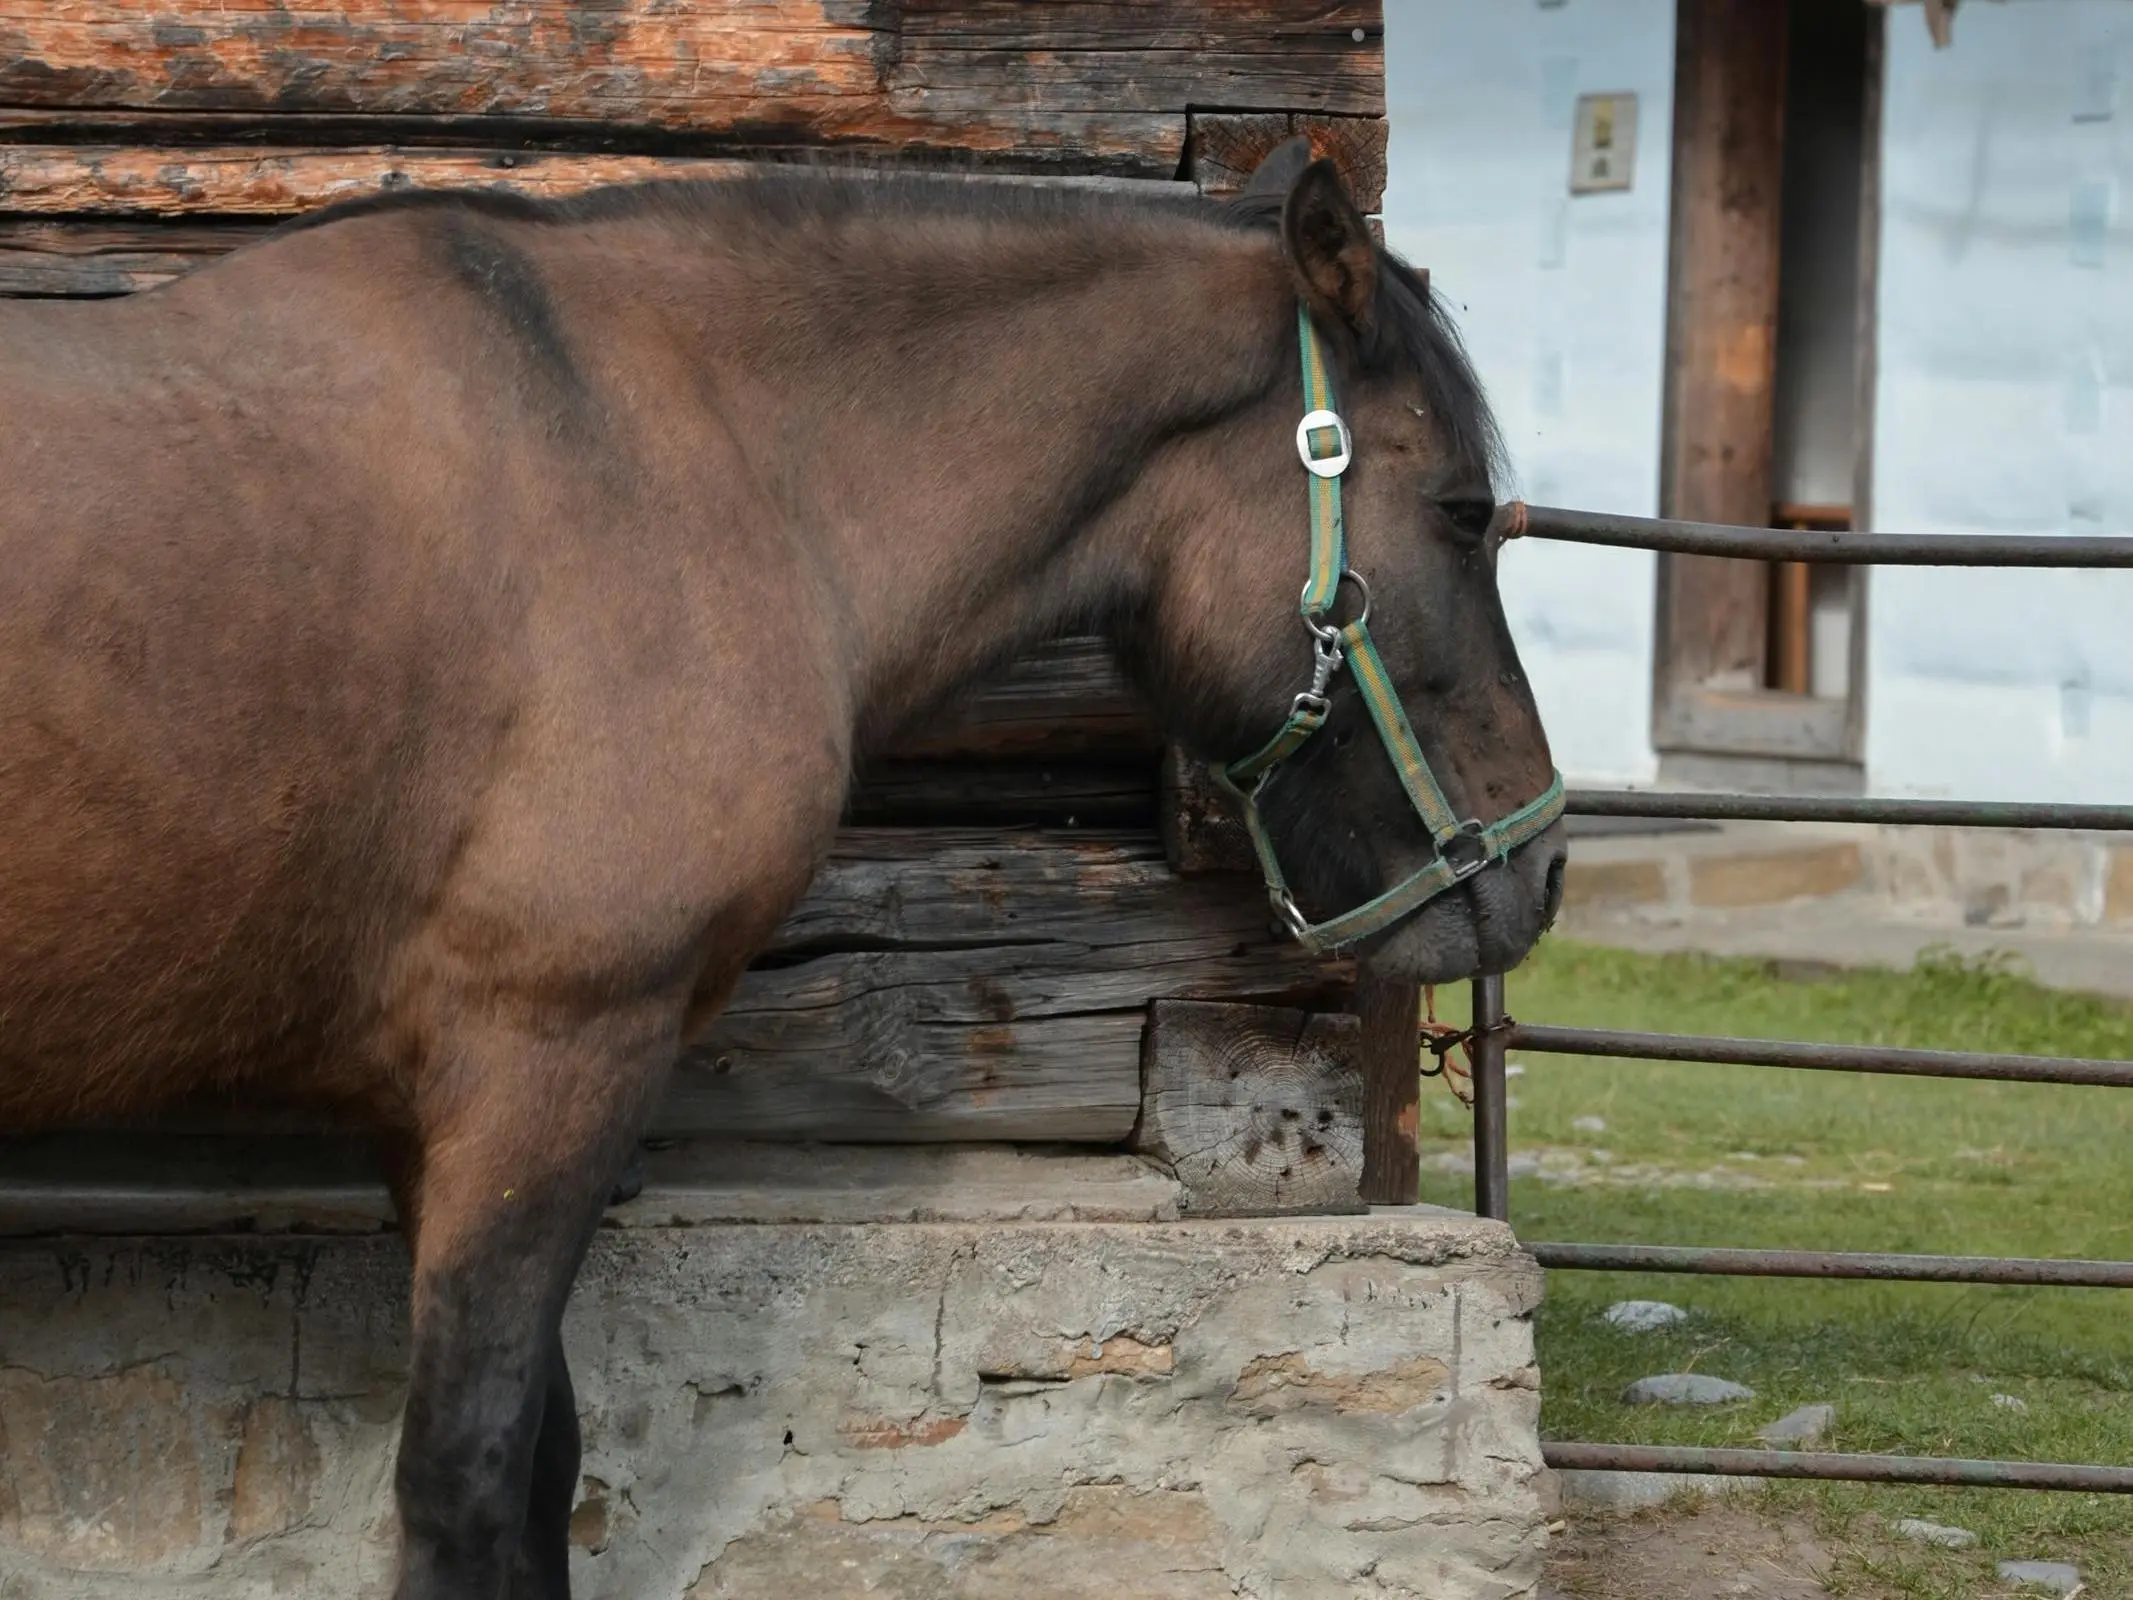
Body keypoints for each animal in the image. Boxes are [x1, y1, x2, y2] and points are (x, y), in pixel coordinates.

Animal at [0, 140, 1564, 1598]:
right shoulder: (547, 1056)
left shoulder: (441, 1110)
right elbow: (473, 1466)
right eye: (1459, 509)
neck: (662, 455)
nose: (1537, 867)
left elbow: (544, 1460)